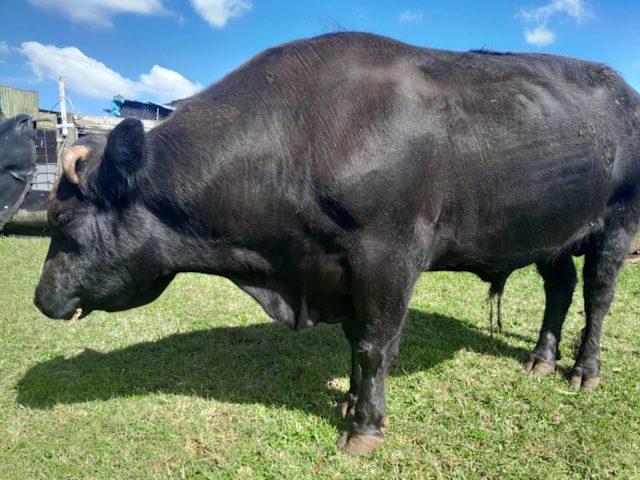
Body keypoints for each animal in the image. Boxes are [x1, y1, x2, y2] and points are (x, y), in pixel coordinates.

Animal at [34, 32, 640, 455]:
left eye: (62, 220)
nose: (40, 299)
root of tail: (621, 87)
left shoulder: (388, 255)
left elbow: (374, 345)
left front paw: (365, 428)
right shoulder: (341, 269)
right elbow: (355, 341)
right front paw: (350, 404)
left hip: (618, 222)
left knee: (598, 295)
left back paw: (585, 370)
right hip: (553, 233)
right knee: (560, 289)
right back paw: (540, 359)